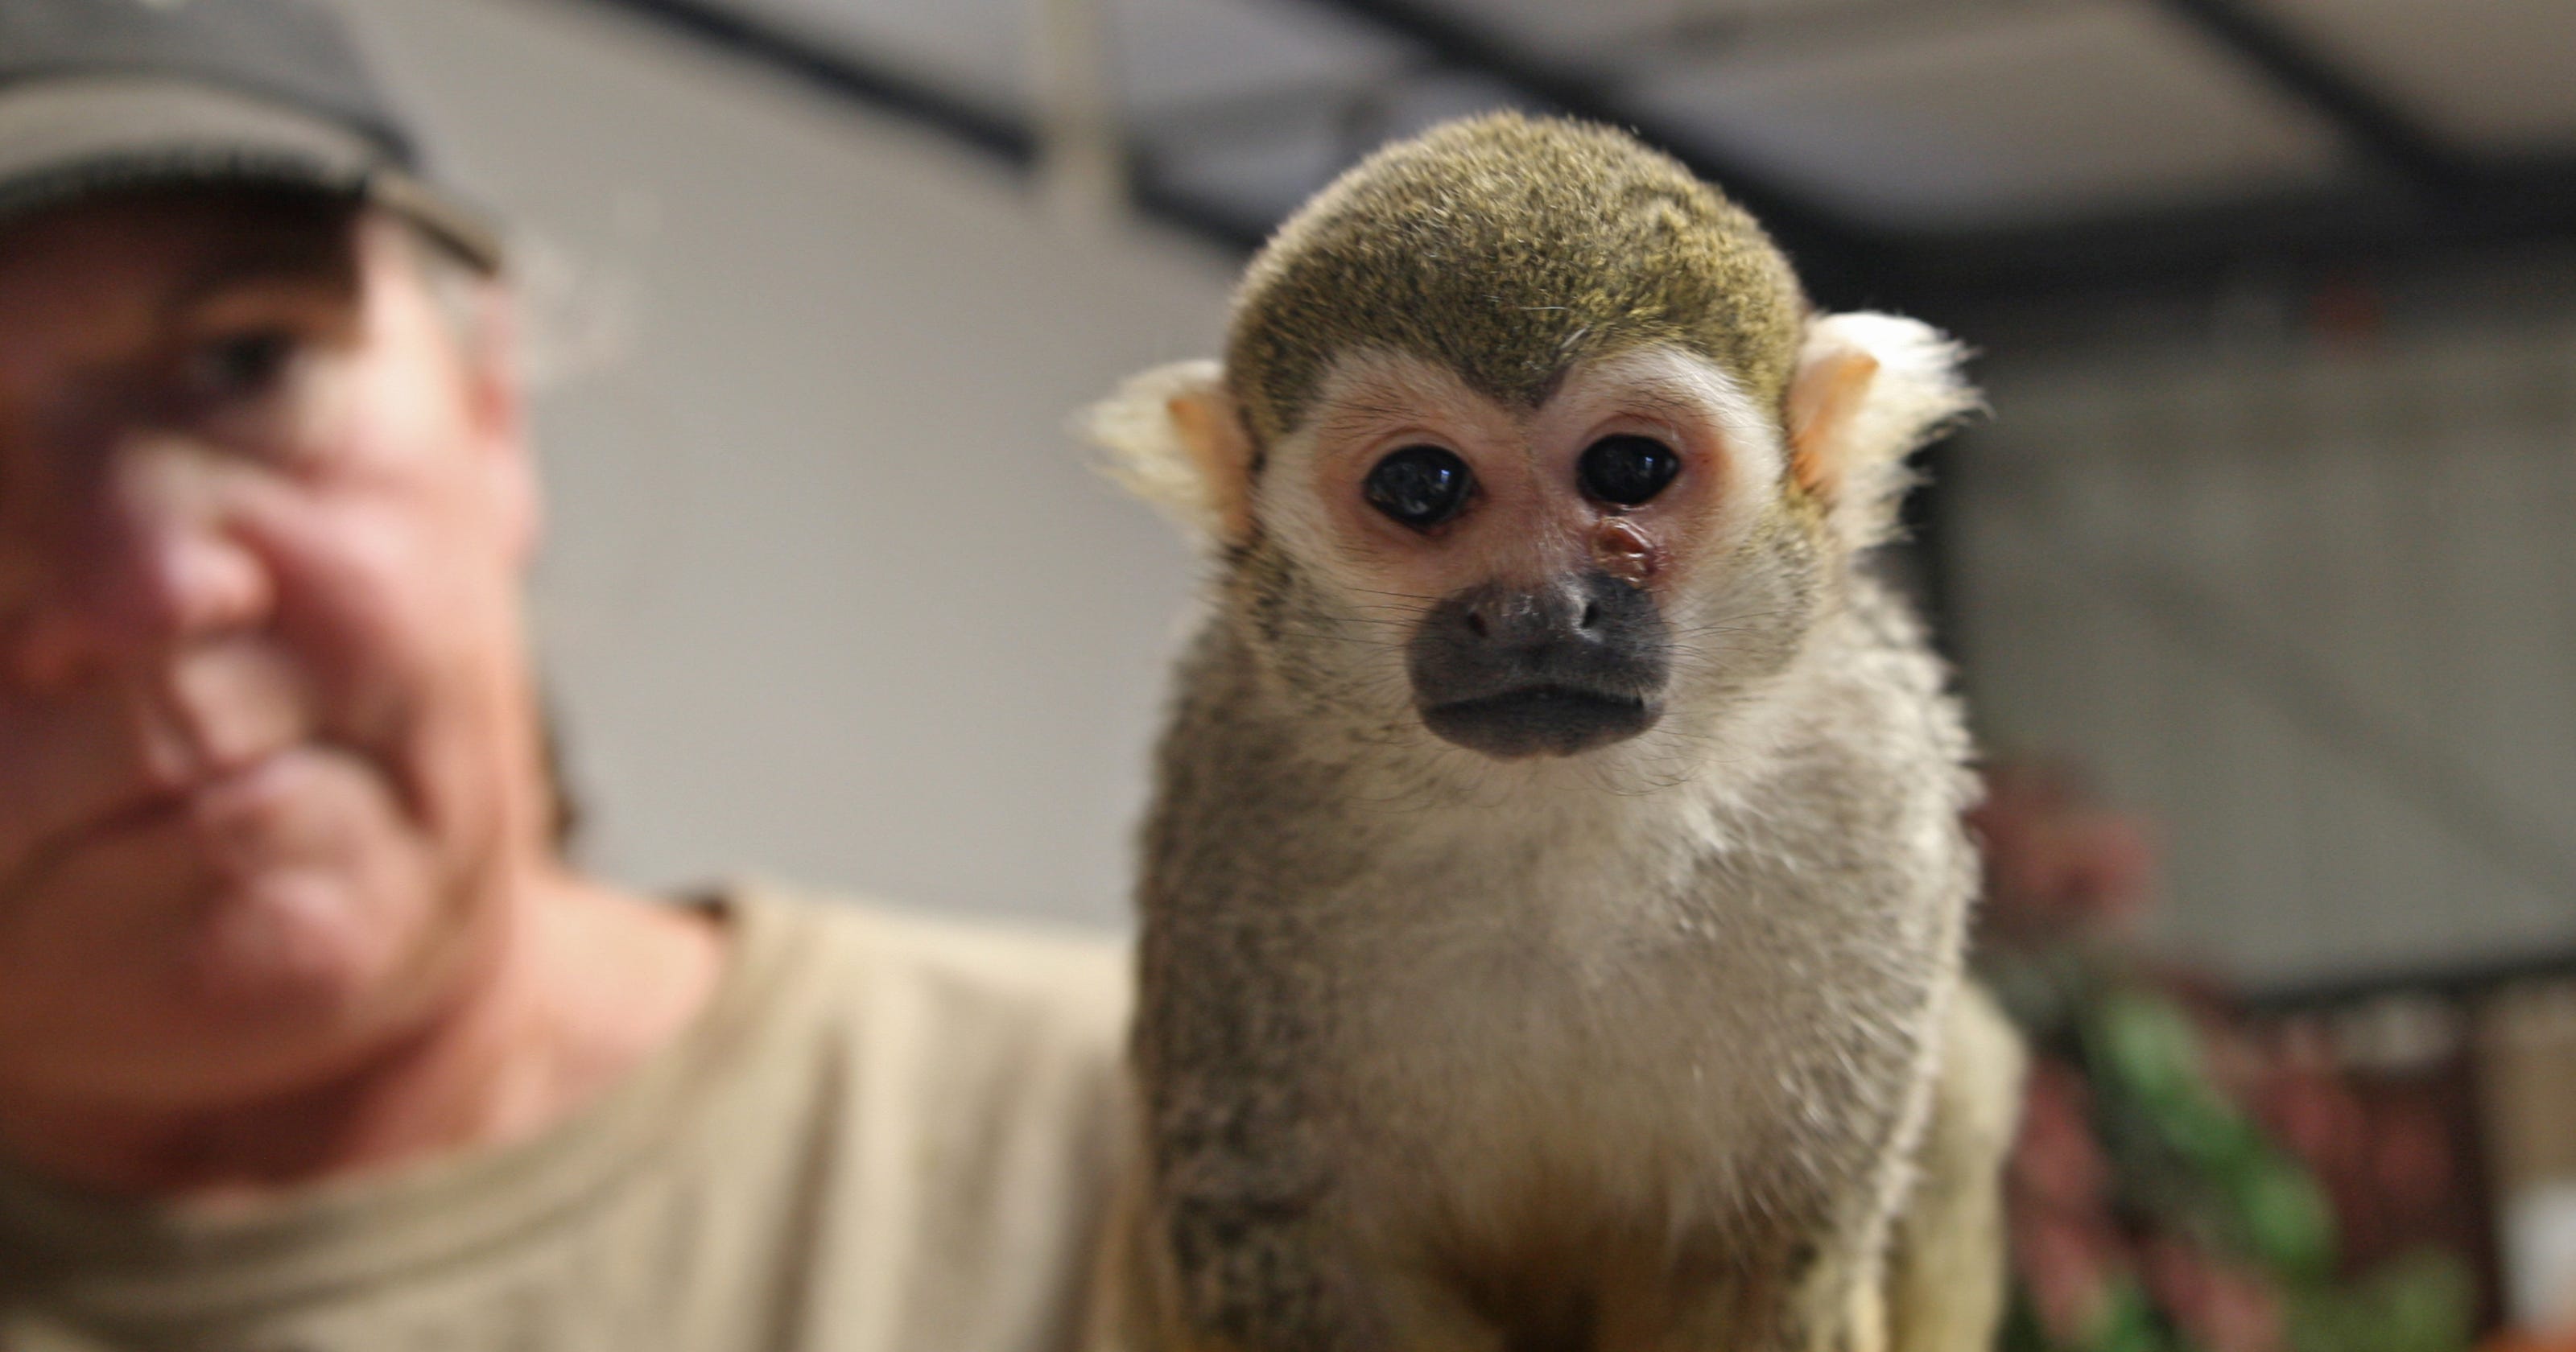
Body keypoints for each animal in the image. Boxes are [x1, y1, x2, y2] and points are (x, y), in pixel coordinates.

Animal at [1080, 112, 2024, 1352]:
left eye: (1630, 466)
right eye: (1421, 484)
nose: (1537, 610)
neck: (1560, 815)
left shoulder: (1871, 780)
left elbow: (1773, 1259)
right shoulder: (1227, 778)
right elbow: (1291, 1249)